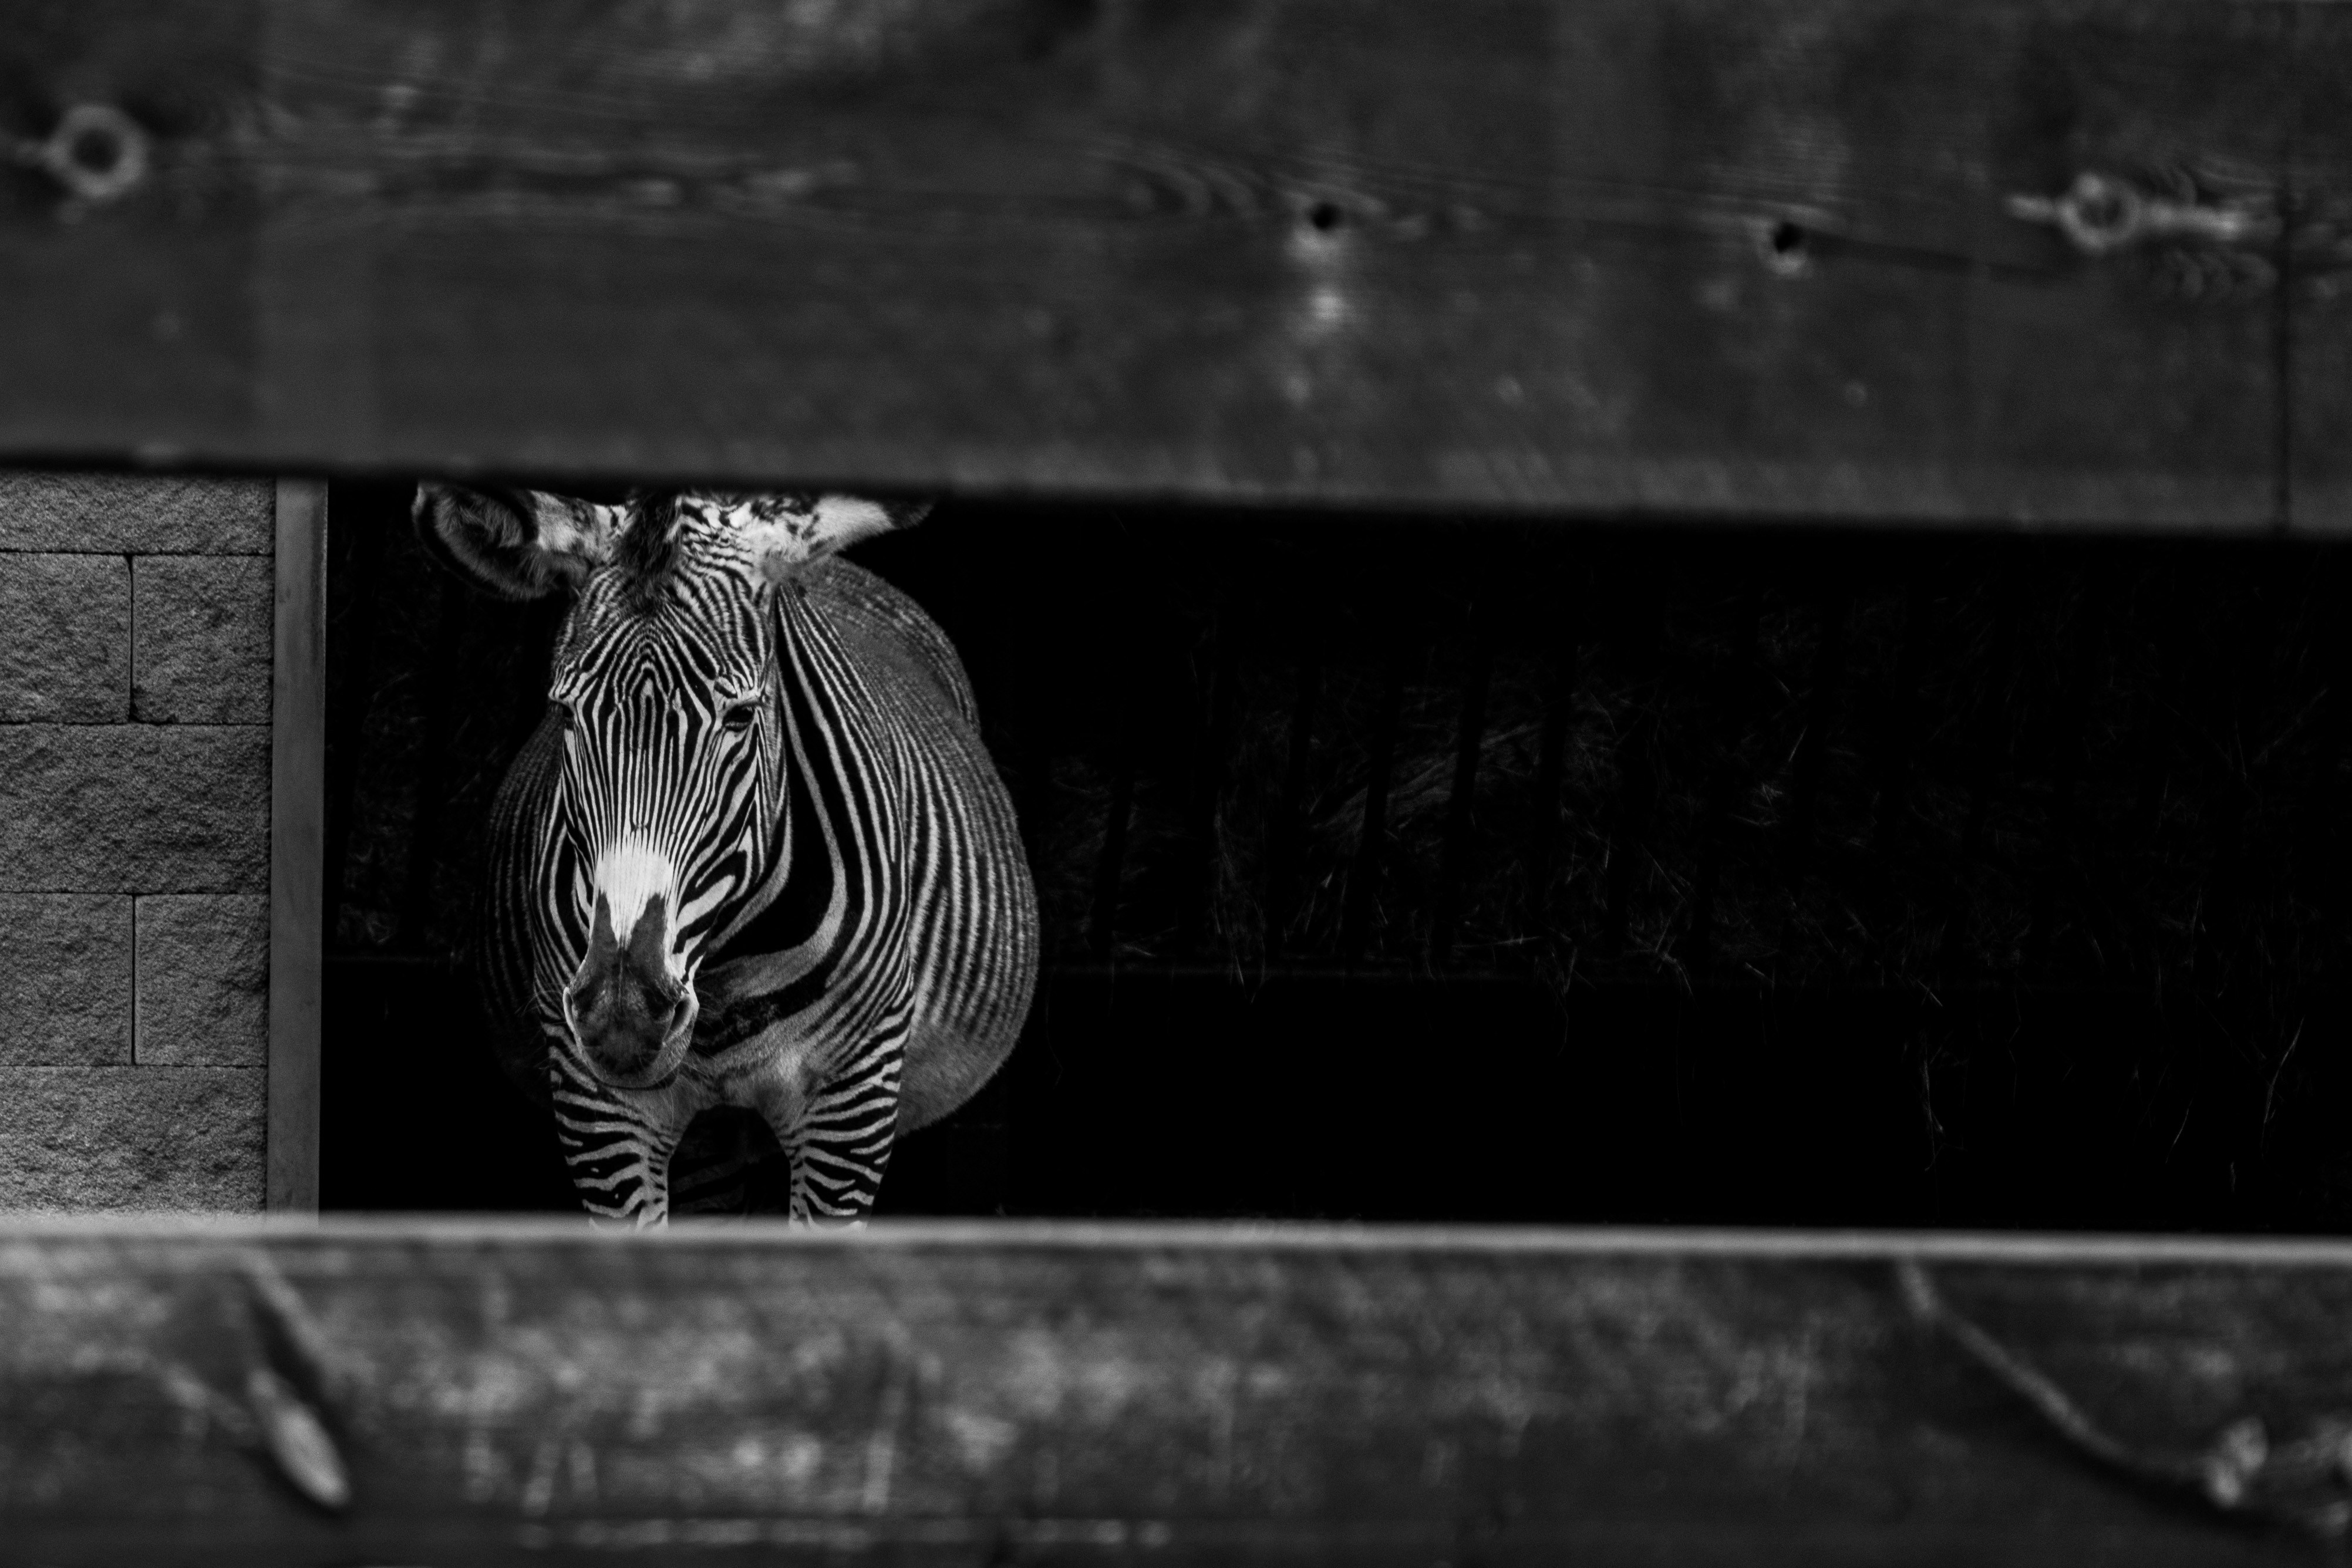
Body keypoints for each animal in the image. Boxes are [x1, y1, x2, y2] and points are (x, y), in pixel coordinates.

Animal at [415, 484, 1038, 1225]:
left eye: (740, 716)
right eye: (565, 714)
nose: (622, 1014)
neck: (725, 970)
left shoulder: (852, 1102)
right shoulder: (597, 1105)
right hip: (708, 1141)